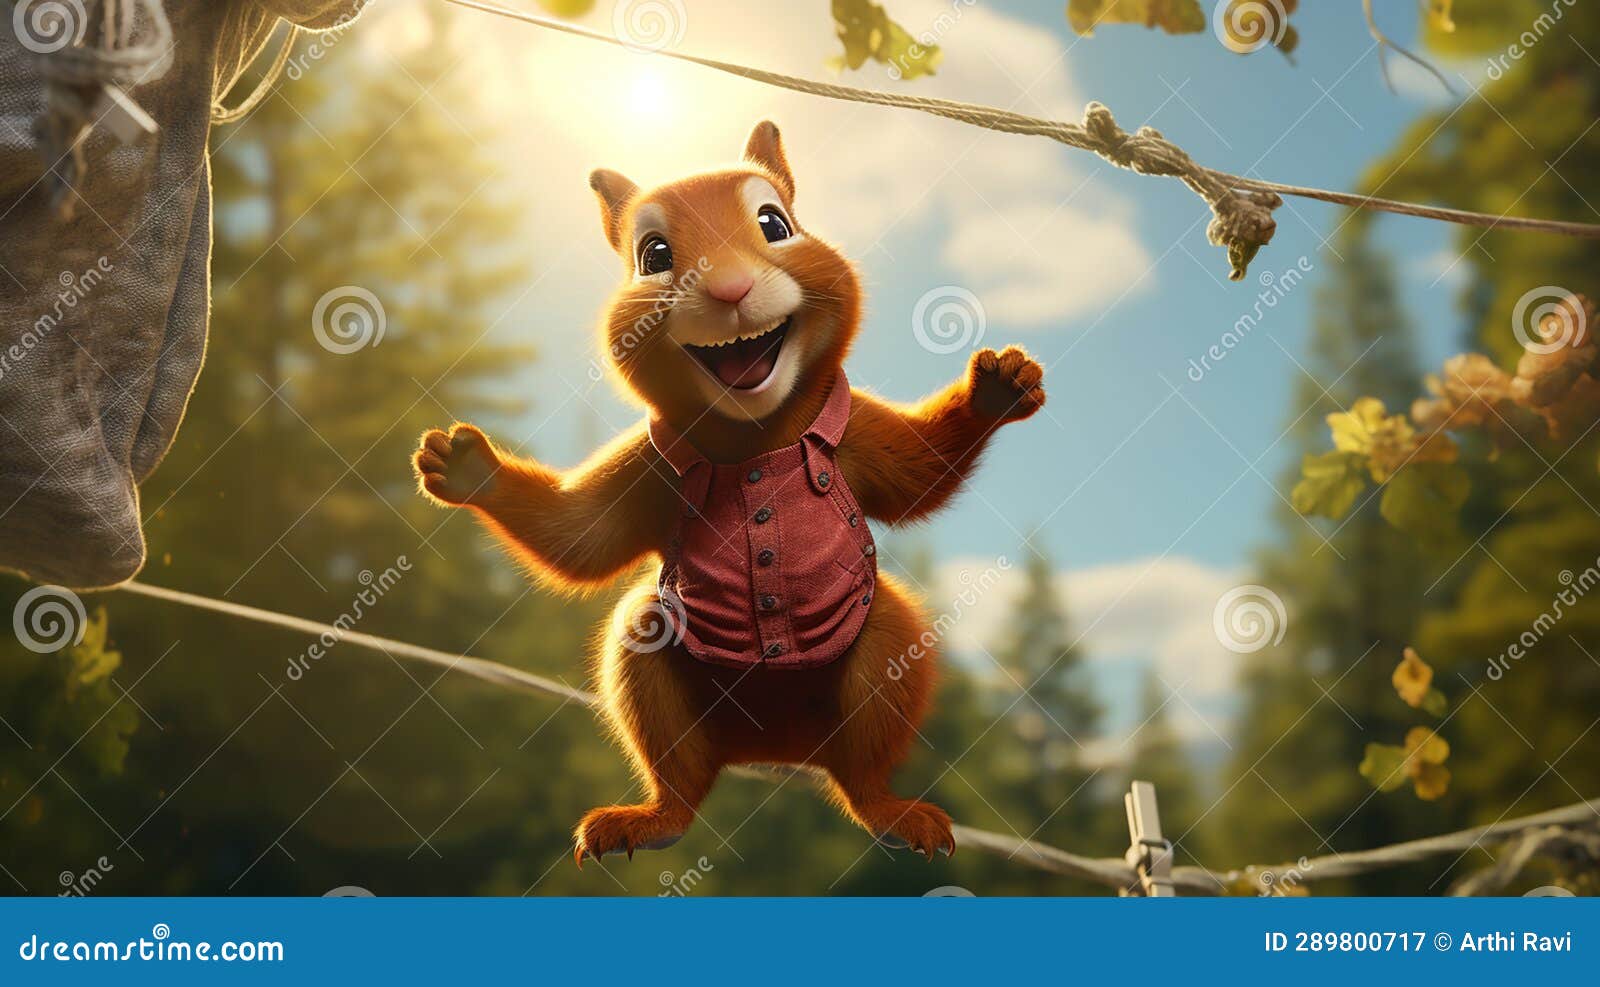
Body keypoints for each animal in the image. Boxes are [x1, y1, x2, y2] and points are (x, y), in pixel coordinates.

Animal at [413, 121, 1046, 865]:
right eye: (653, 255)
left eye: (775, 224)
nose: (730, 287)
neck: (752, 440)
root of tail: (777, 751)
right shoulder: (653, 459)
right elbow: (583, 536)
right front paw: (465, 465)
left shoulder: (855, 433)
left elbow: (921, 472)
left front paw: (998, 385)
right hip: (658, 665)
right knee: (677, 767)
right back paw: (652, 819)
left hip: (880, 654)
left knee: (865, 762)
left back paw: (891, 813)